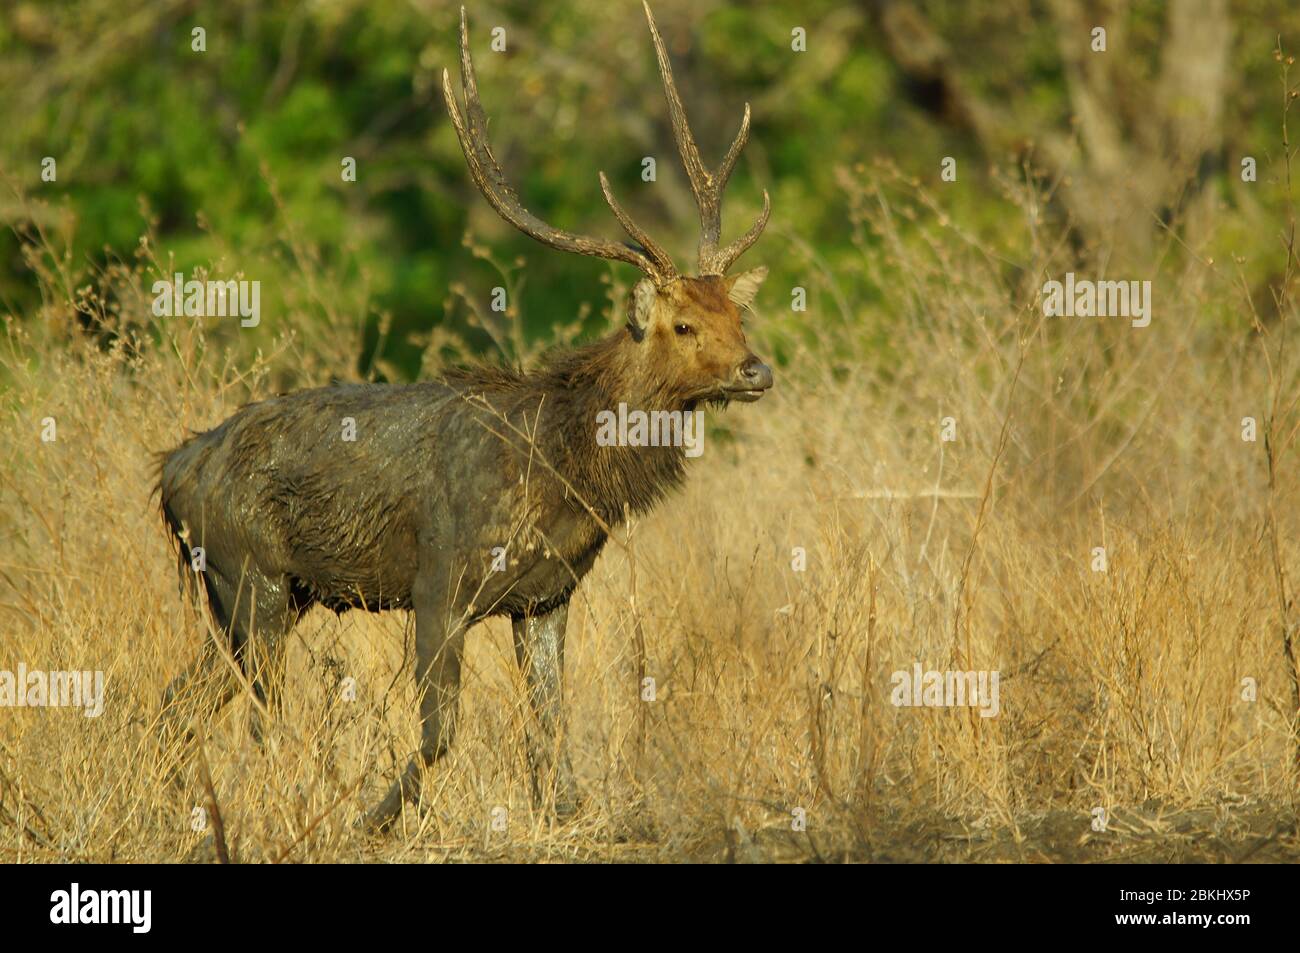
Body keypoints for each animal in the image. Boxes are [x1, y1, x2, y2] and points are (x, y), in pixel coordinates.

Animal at [156, 2, 772, 831]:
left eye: (736, 314)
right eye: (682, 324)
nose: (755, 369)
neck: (563, 470)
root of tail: (170, 471)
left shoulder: (547, 597)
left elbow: (550, 733)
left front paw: (564, 813)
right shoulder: (439, 579)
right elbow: (440, 730)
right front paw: (371, 819)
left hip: (257, 595)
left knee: (175, 702)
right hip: (249, 575)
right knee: (251, 716)